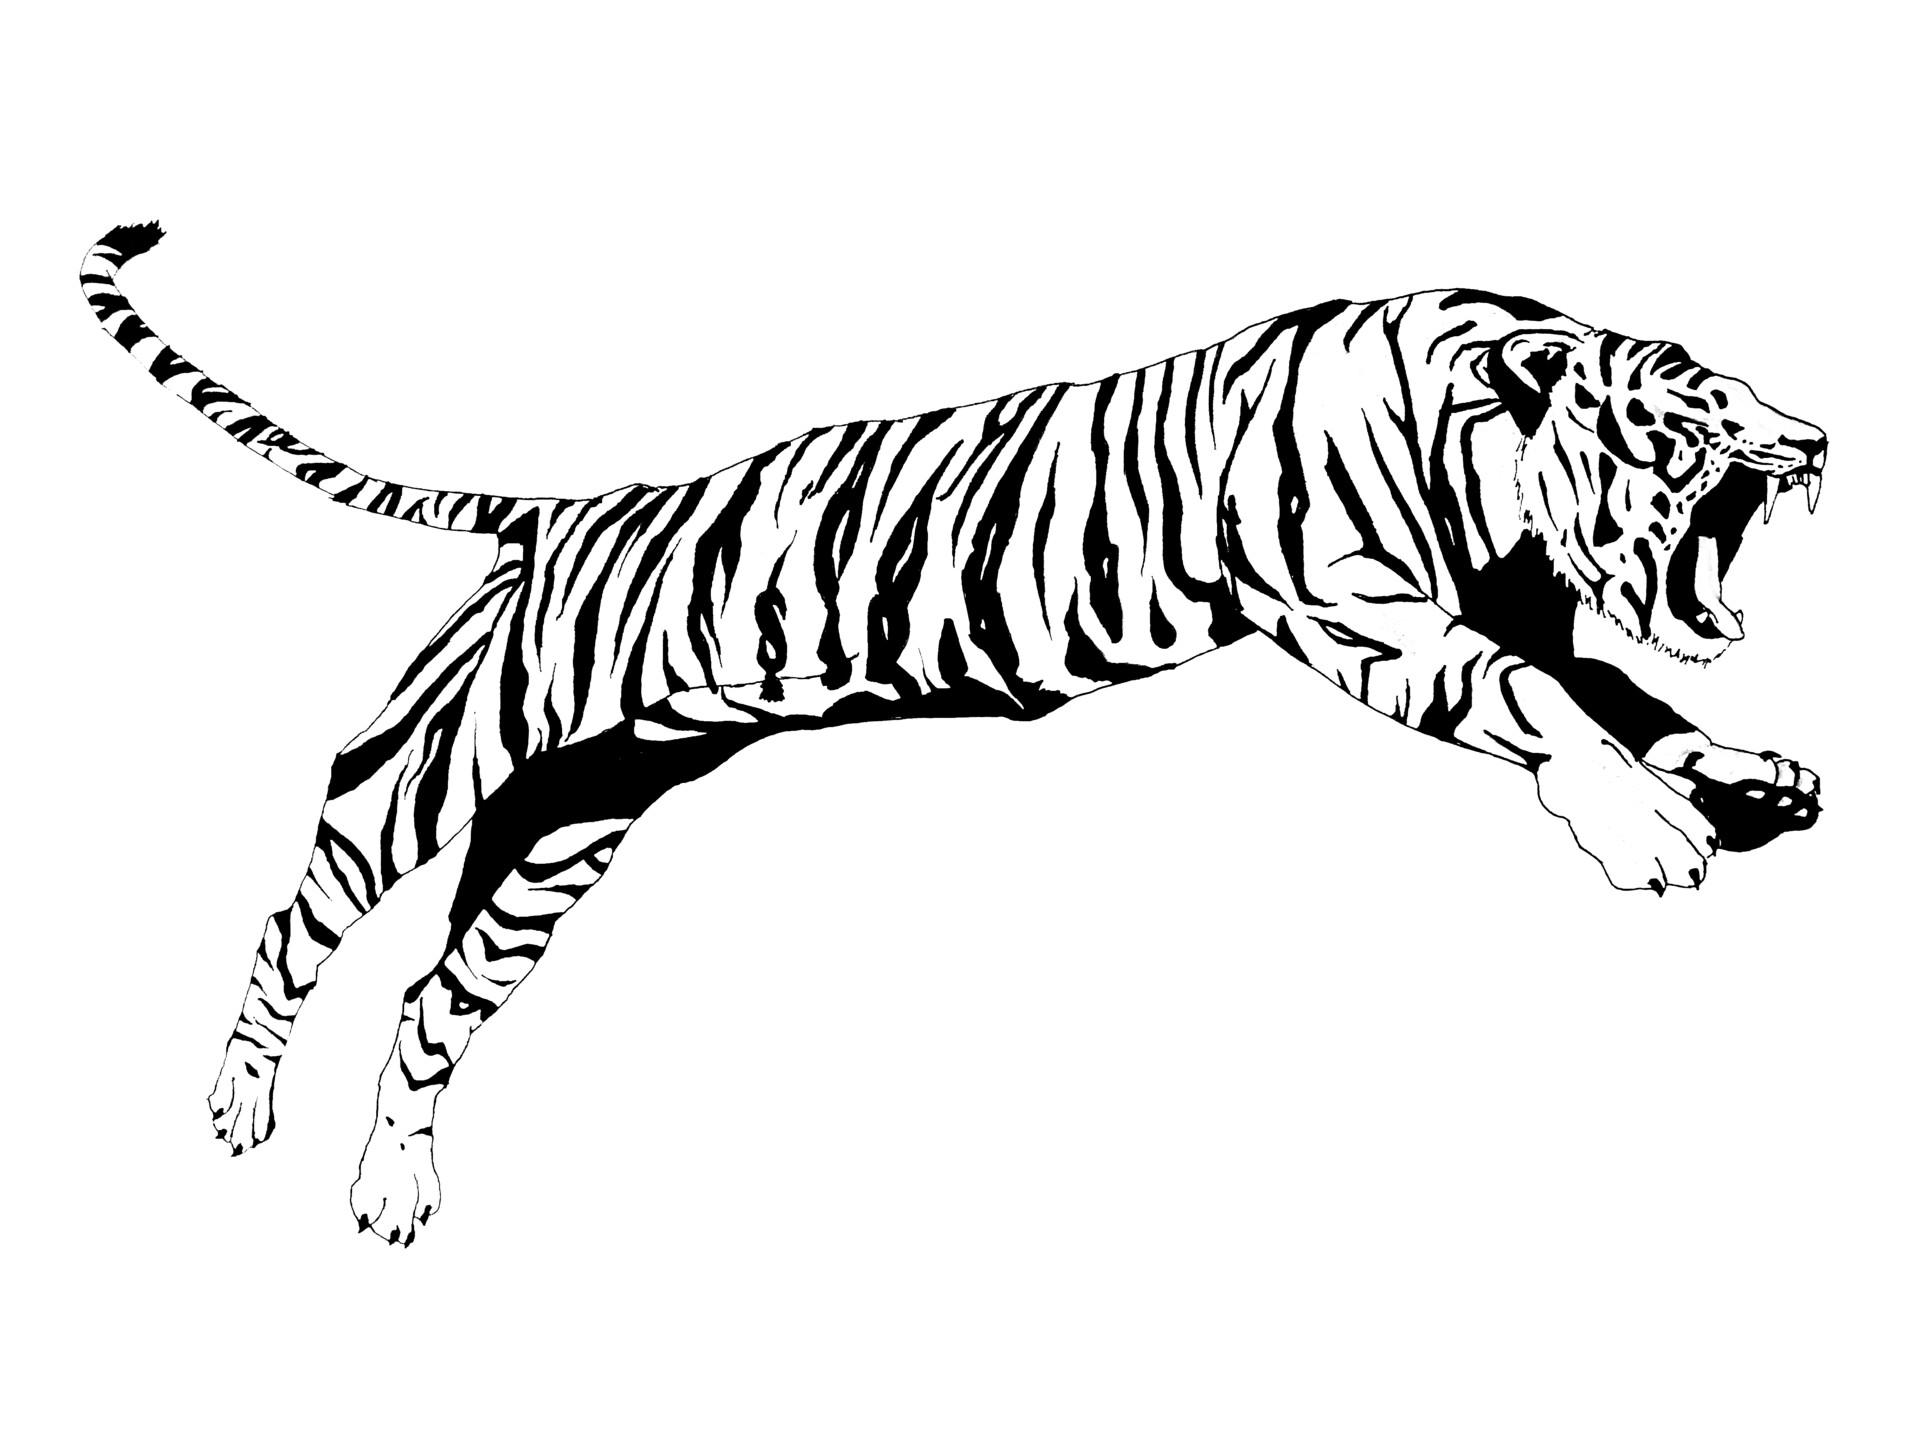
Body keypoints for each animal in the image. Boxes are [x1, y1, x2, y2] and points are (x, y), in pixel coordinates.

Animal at [82, 222, 1829, 1245]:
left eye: (1747, 391)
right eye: (1687, 417)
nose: (1814, 441)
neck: (1486, 453)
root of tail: (566, 511)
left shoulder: (1531, 611)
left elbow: (1636, 696)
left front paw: (1742, 774)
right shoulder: (1375, 627)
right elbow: (1549, 705)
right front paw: (1652, 830)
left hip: (563, 838)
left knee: (435, 1003)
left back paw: (392, 1185)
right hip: (442, 767)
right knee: (304, 906)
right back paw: (237, 1103)